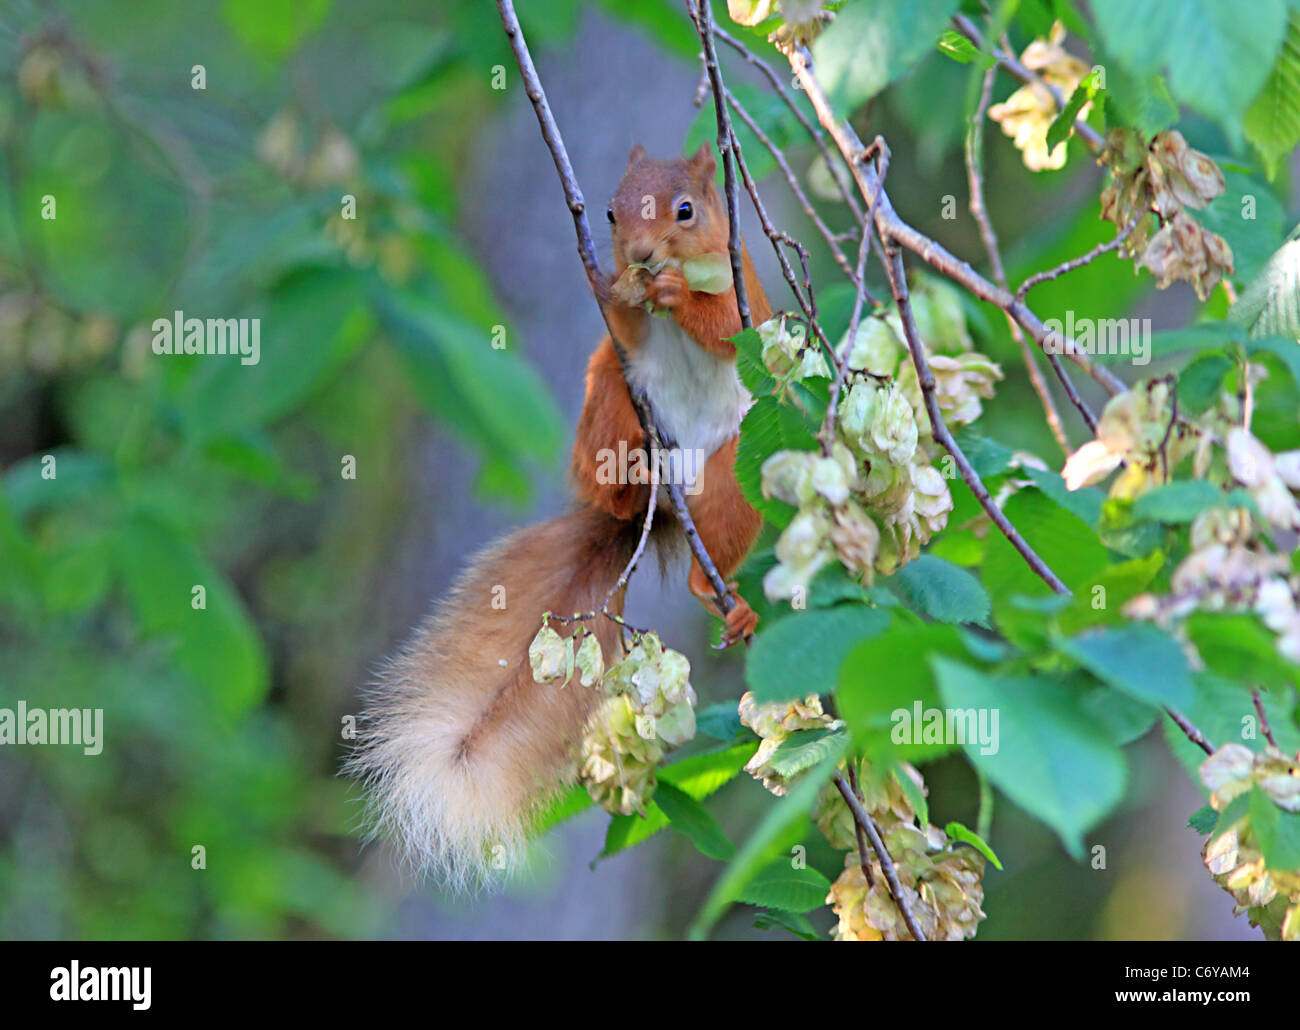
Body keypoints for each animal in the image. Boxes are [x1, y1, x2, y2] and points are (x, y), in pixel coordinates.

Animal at [350, 143, 768, 886]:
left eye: (686, 210)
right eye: (610, 210)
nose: (638, 253)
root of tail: (659, 515)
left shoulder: (743, 283)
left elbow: (724, 326)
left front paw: (675, 292)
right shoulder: (622, 335)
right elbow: (623, 320)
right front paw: (614, 283)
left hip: (734, 475)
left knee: (711, 548)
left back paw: (725, 598)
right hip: (607, 389)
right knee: (613, 447)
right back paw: (631, 478)